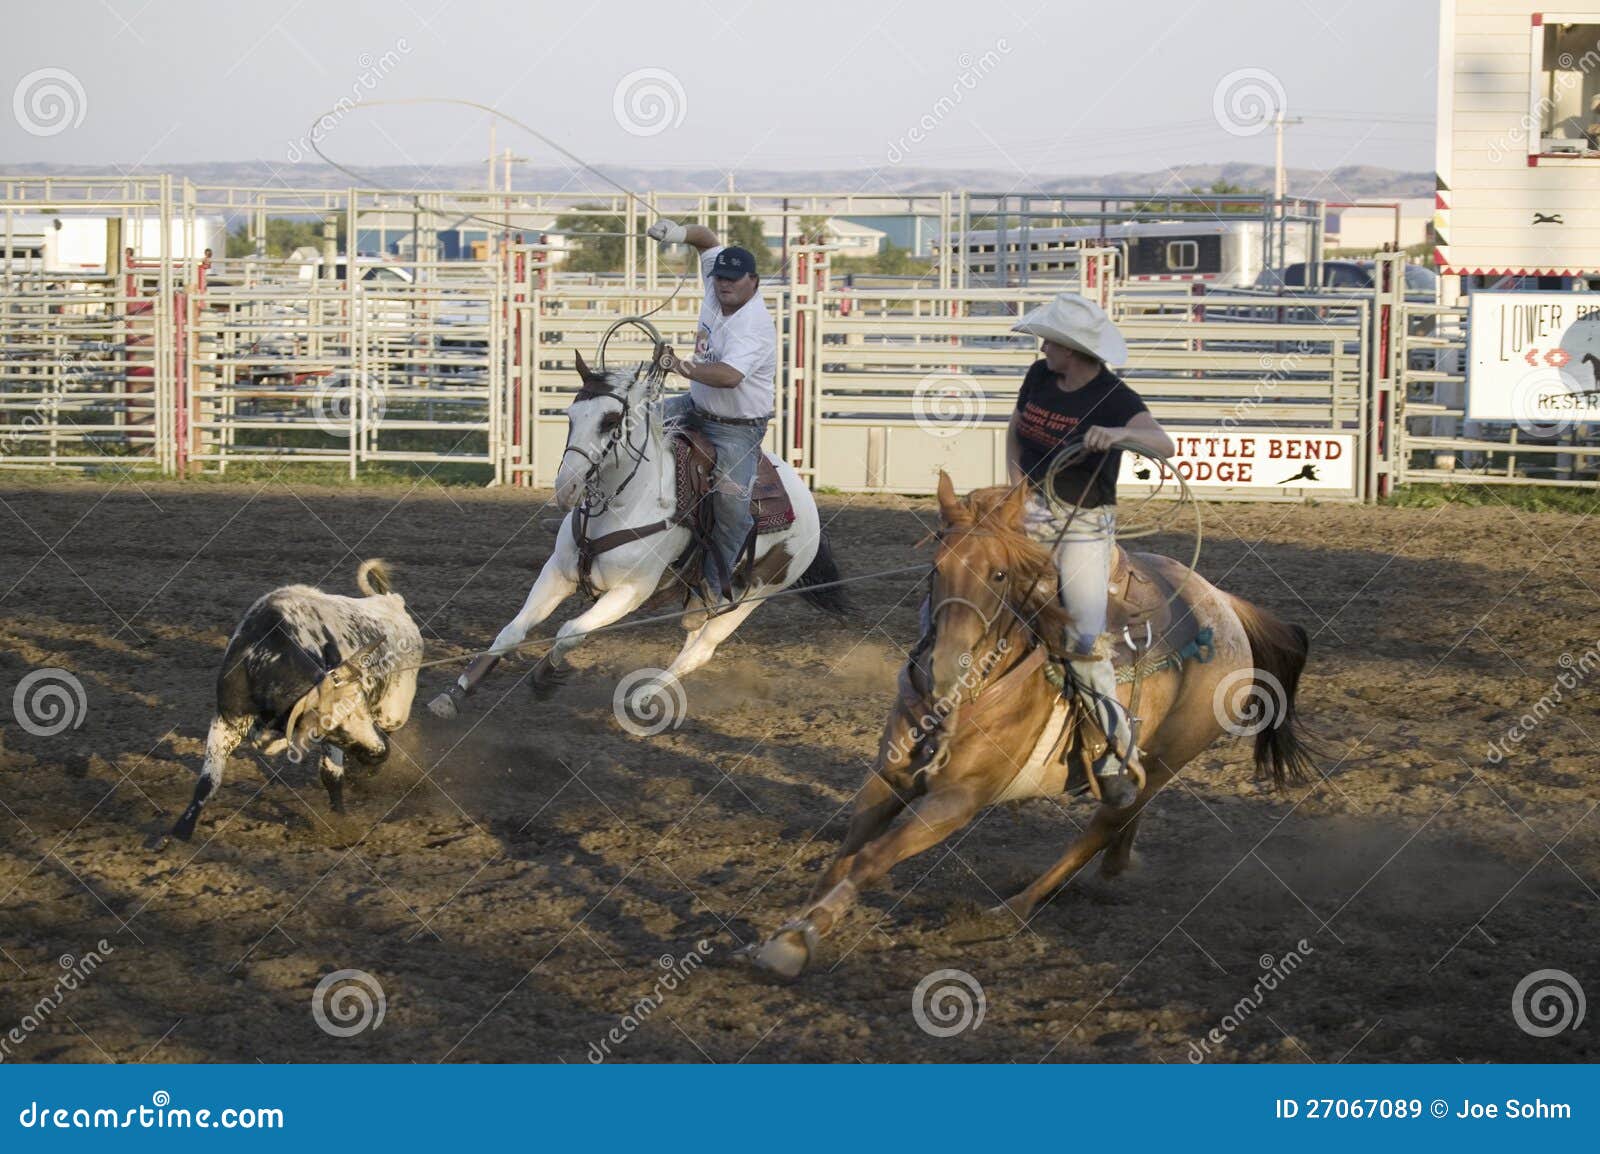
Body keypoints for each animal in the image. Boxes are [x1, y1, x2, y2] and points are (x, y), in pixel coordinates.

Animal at [161, 559, 422, 845]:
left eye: (362, 703)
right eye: (333, 726)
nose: (380, 753)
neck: (260, 658)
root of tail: (391, 600)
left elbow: (331, 775)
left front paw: (340, 824)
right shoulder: (225, 720)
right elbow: (208, 781)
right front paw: (181, 830)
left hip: (394, 711)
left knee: (387, 728)